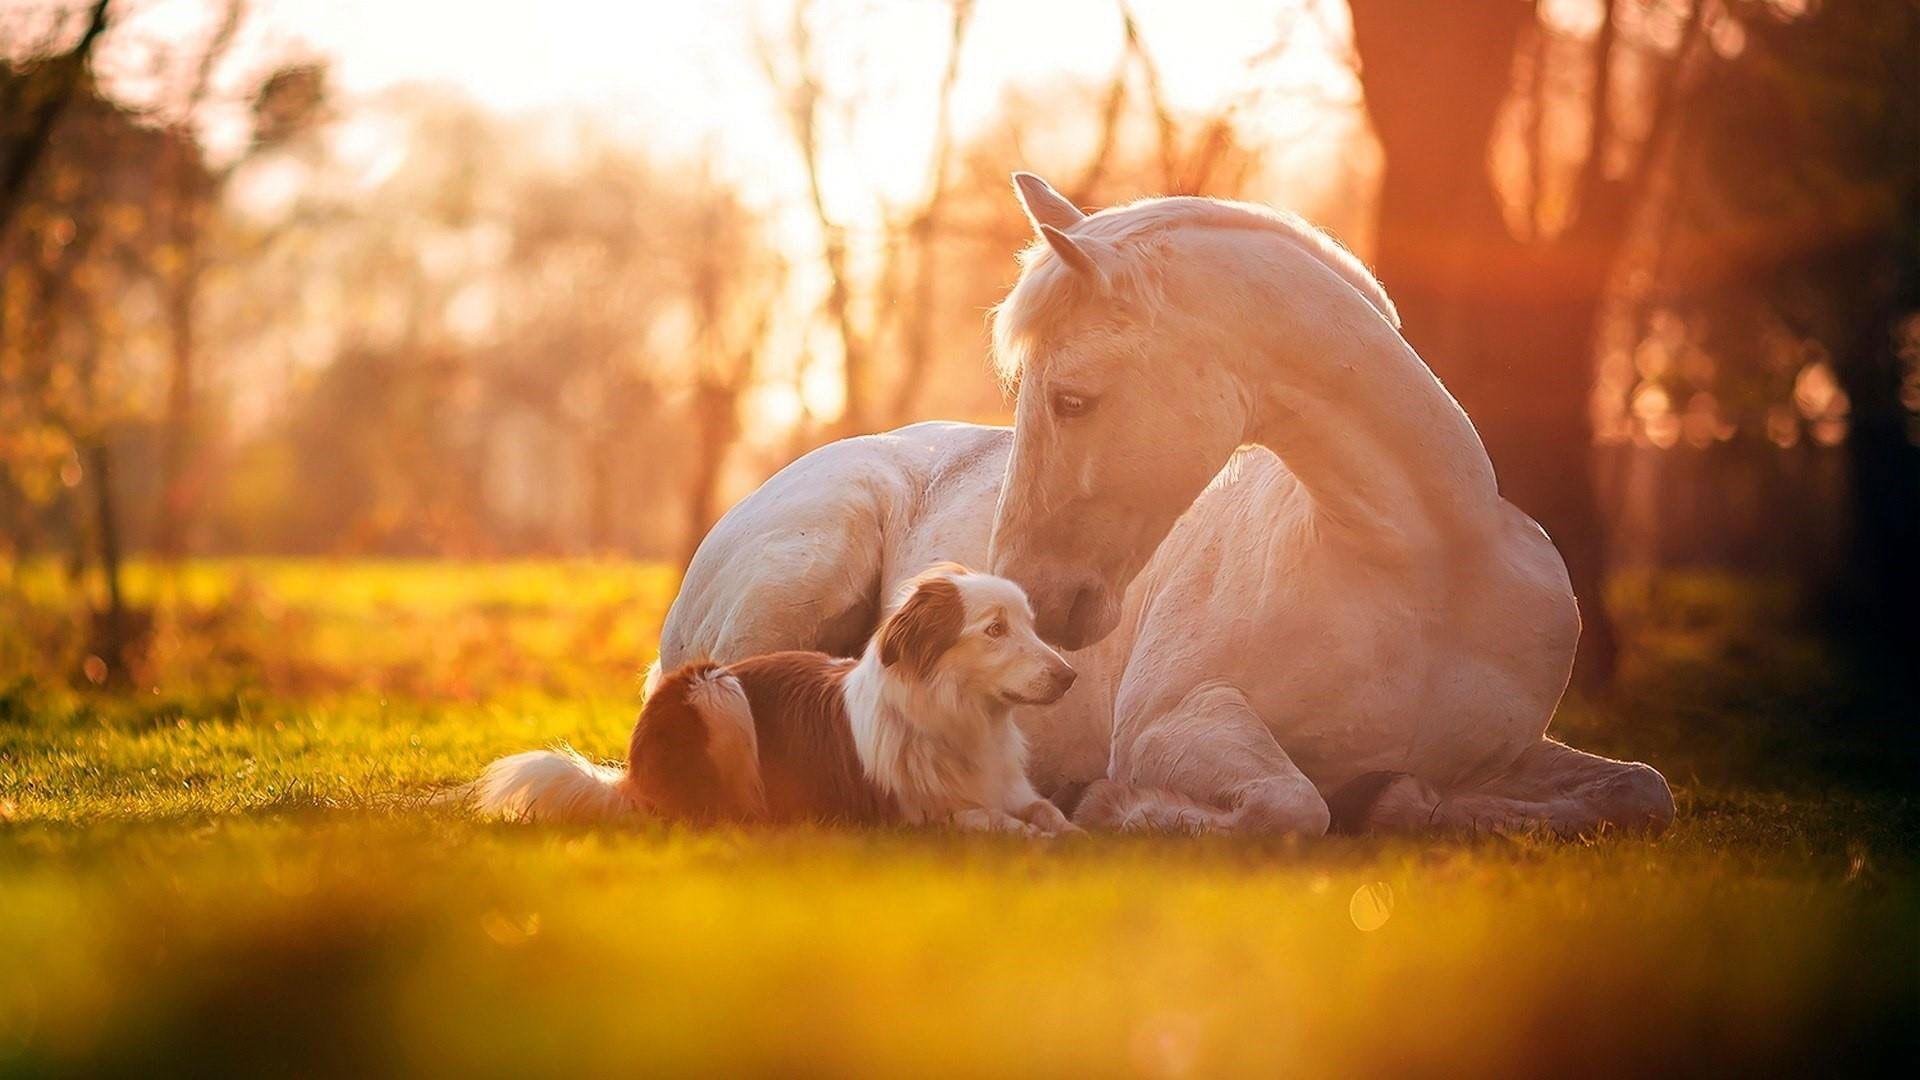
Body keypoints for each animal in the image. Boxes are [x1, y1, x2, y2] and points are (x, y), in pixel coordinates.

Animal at [655, 173, 1674, 837]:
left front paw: (1411, 802)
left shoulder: (1510, 753)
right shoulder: (1174, 722)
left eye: (1071, 399)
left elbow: (1640, 791)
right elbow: (1289, 805)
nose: (1022, 597)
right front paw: (1117, 810)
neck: (1425, 571)